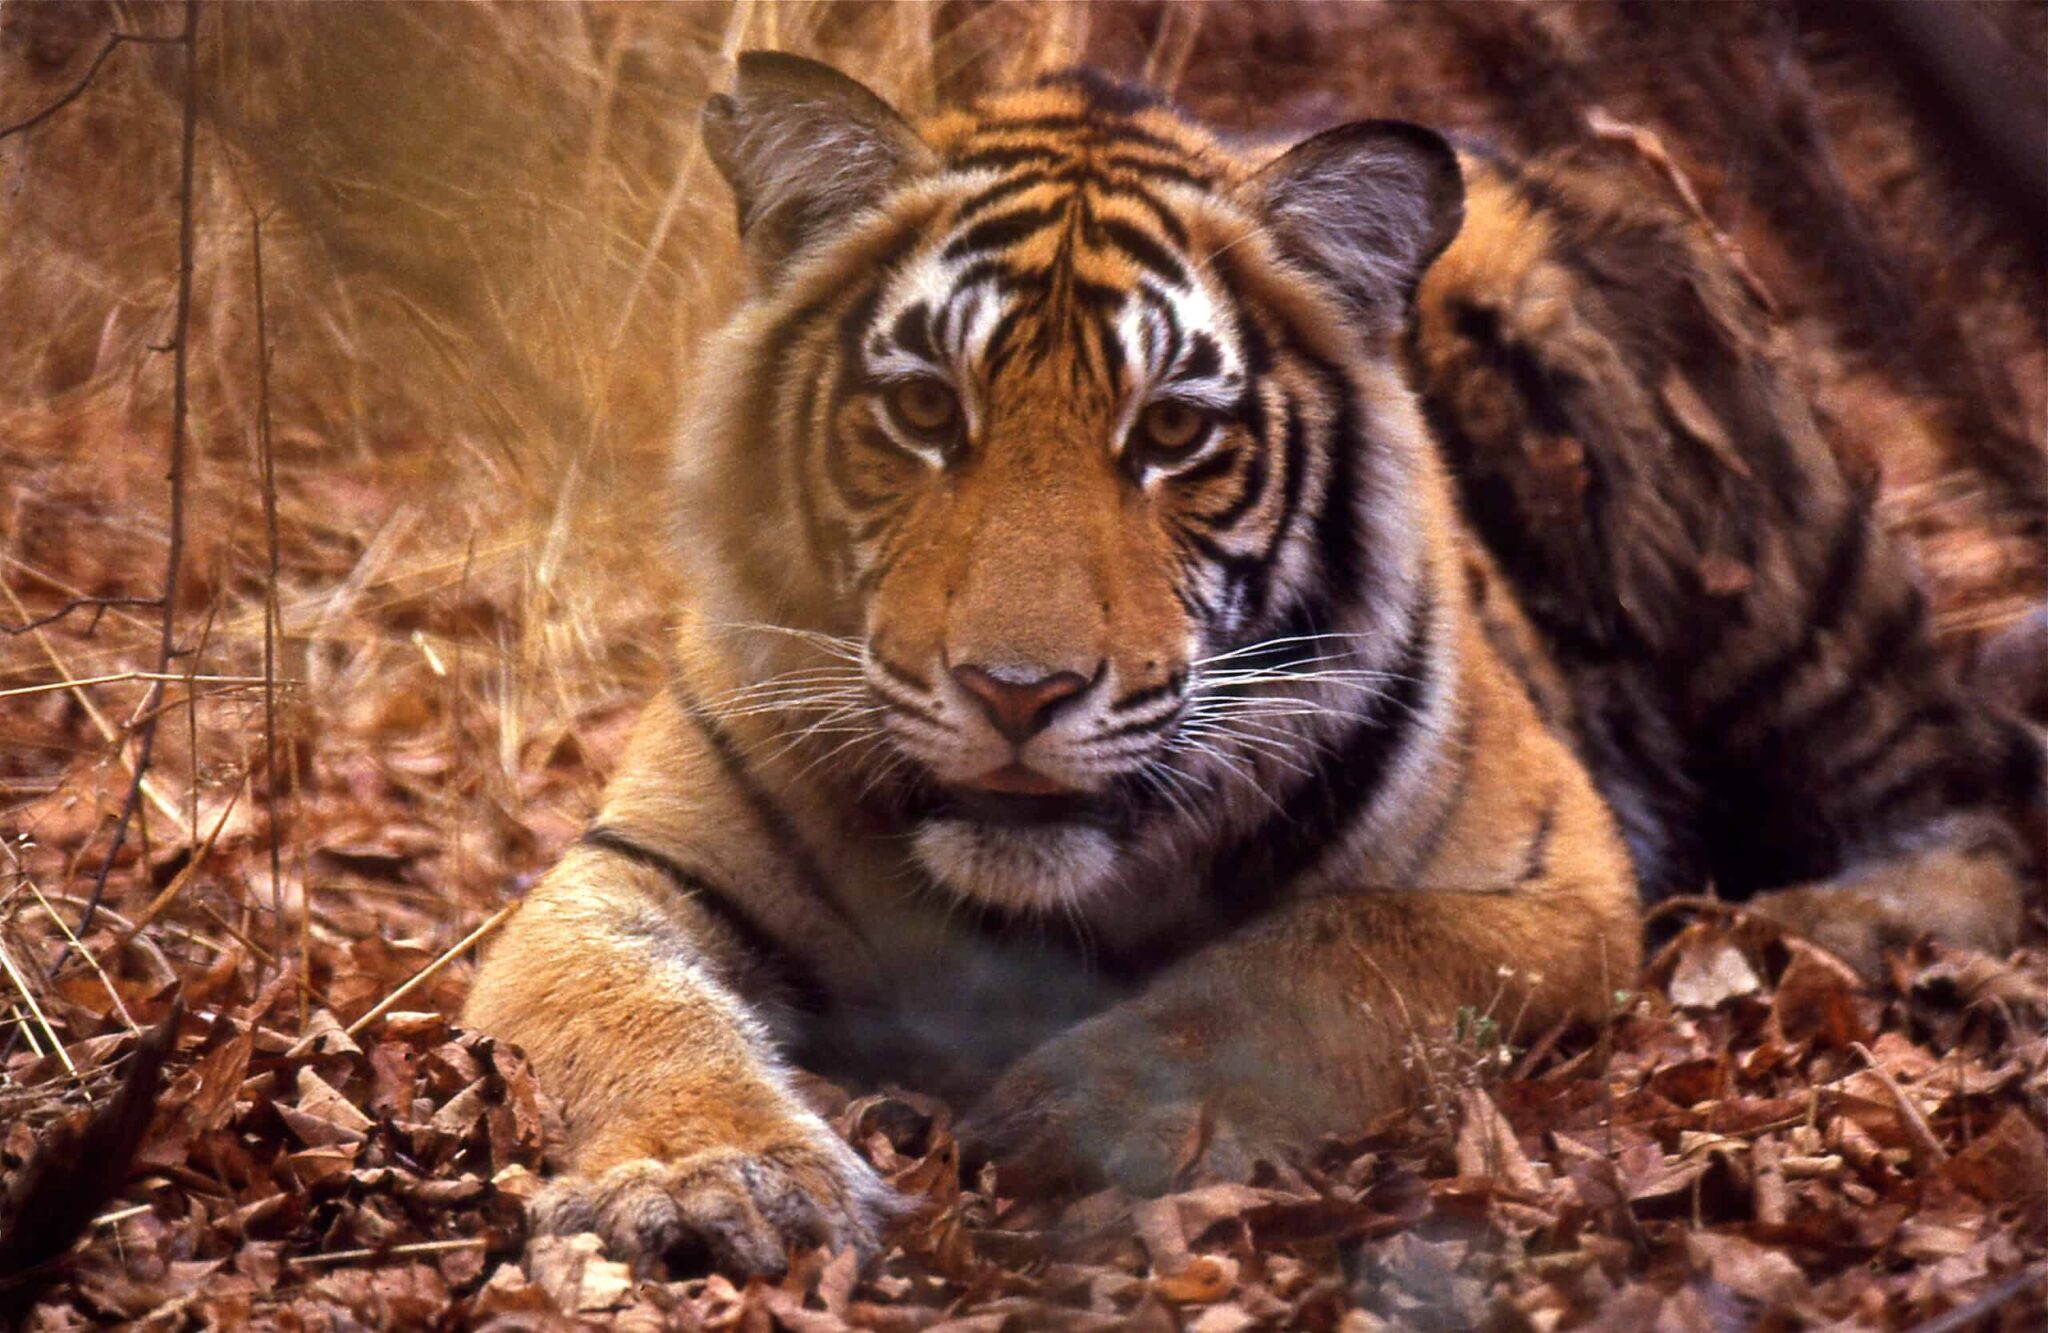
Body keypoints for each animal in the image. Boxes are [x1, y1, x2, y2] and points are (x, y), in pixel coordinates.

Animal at [461, 54, 2043, 1276]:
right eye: (922, 411)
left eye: (1173, 431)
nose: (1018, 693)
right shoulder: (633, 870)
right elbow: (619, 1013)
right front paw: (710, 1181)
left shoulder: (1544, 877)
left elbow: (1327, 959)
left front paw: (1090, 1102)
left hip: (1777, 584)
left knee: (1964, 808)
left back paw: (1820, 925)